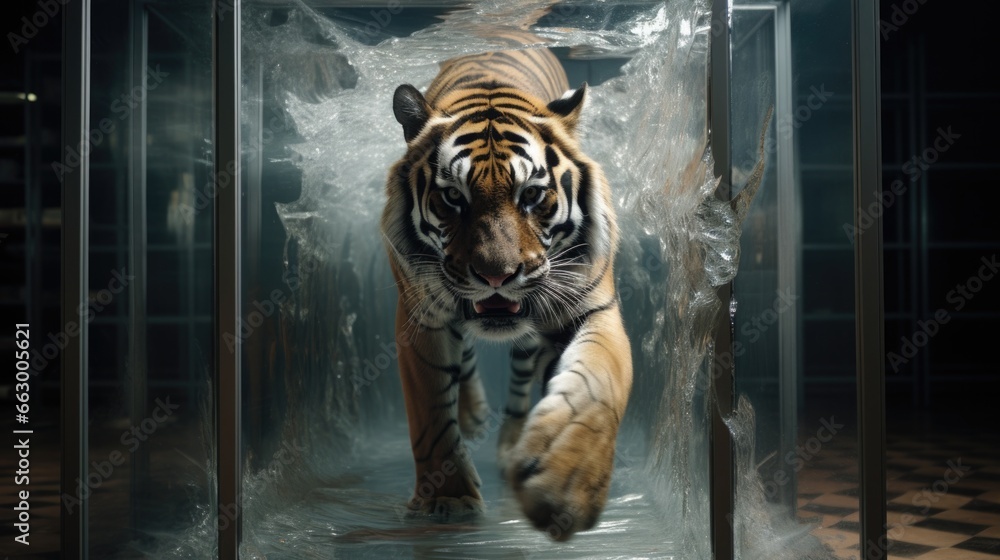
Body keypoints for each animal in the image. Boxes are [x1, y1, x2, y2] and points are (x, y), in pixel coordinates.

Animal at [380, 42, 633, 540]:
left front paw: (564, 484)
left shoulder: (595, 307)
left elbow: (600, 382)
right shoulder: (421, 318)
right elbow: (430, 414)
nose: (497, 276)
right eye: (453, 198)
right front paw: (446, 499)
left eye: (531, 196)